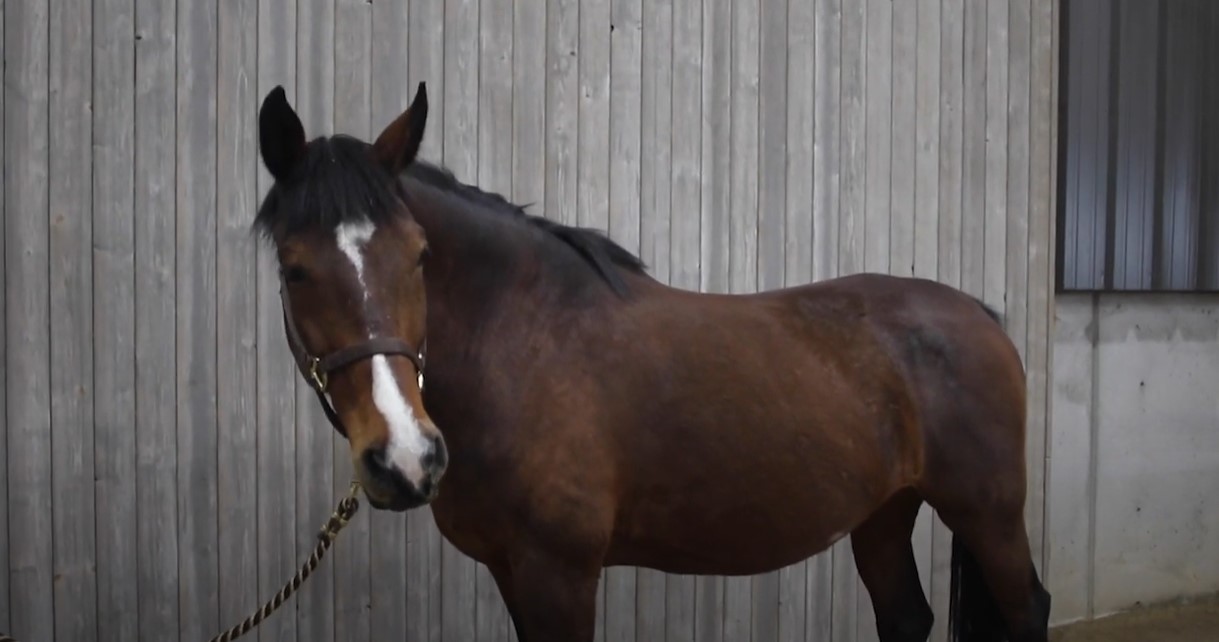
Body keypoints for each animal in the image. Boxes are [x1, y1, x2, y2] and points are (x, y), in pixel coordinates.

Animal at [253, 82, 1052, 642]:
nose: (406, 459)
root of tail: (977, 316)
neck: (520, 346)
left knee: (1027, 609)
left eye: (419, 256)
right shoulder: (513, 571)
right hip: (885, 513)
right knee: (906, 617)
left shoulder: (561, 575)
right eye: (294, 270)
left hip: (987, 512)